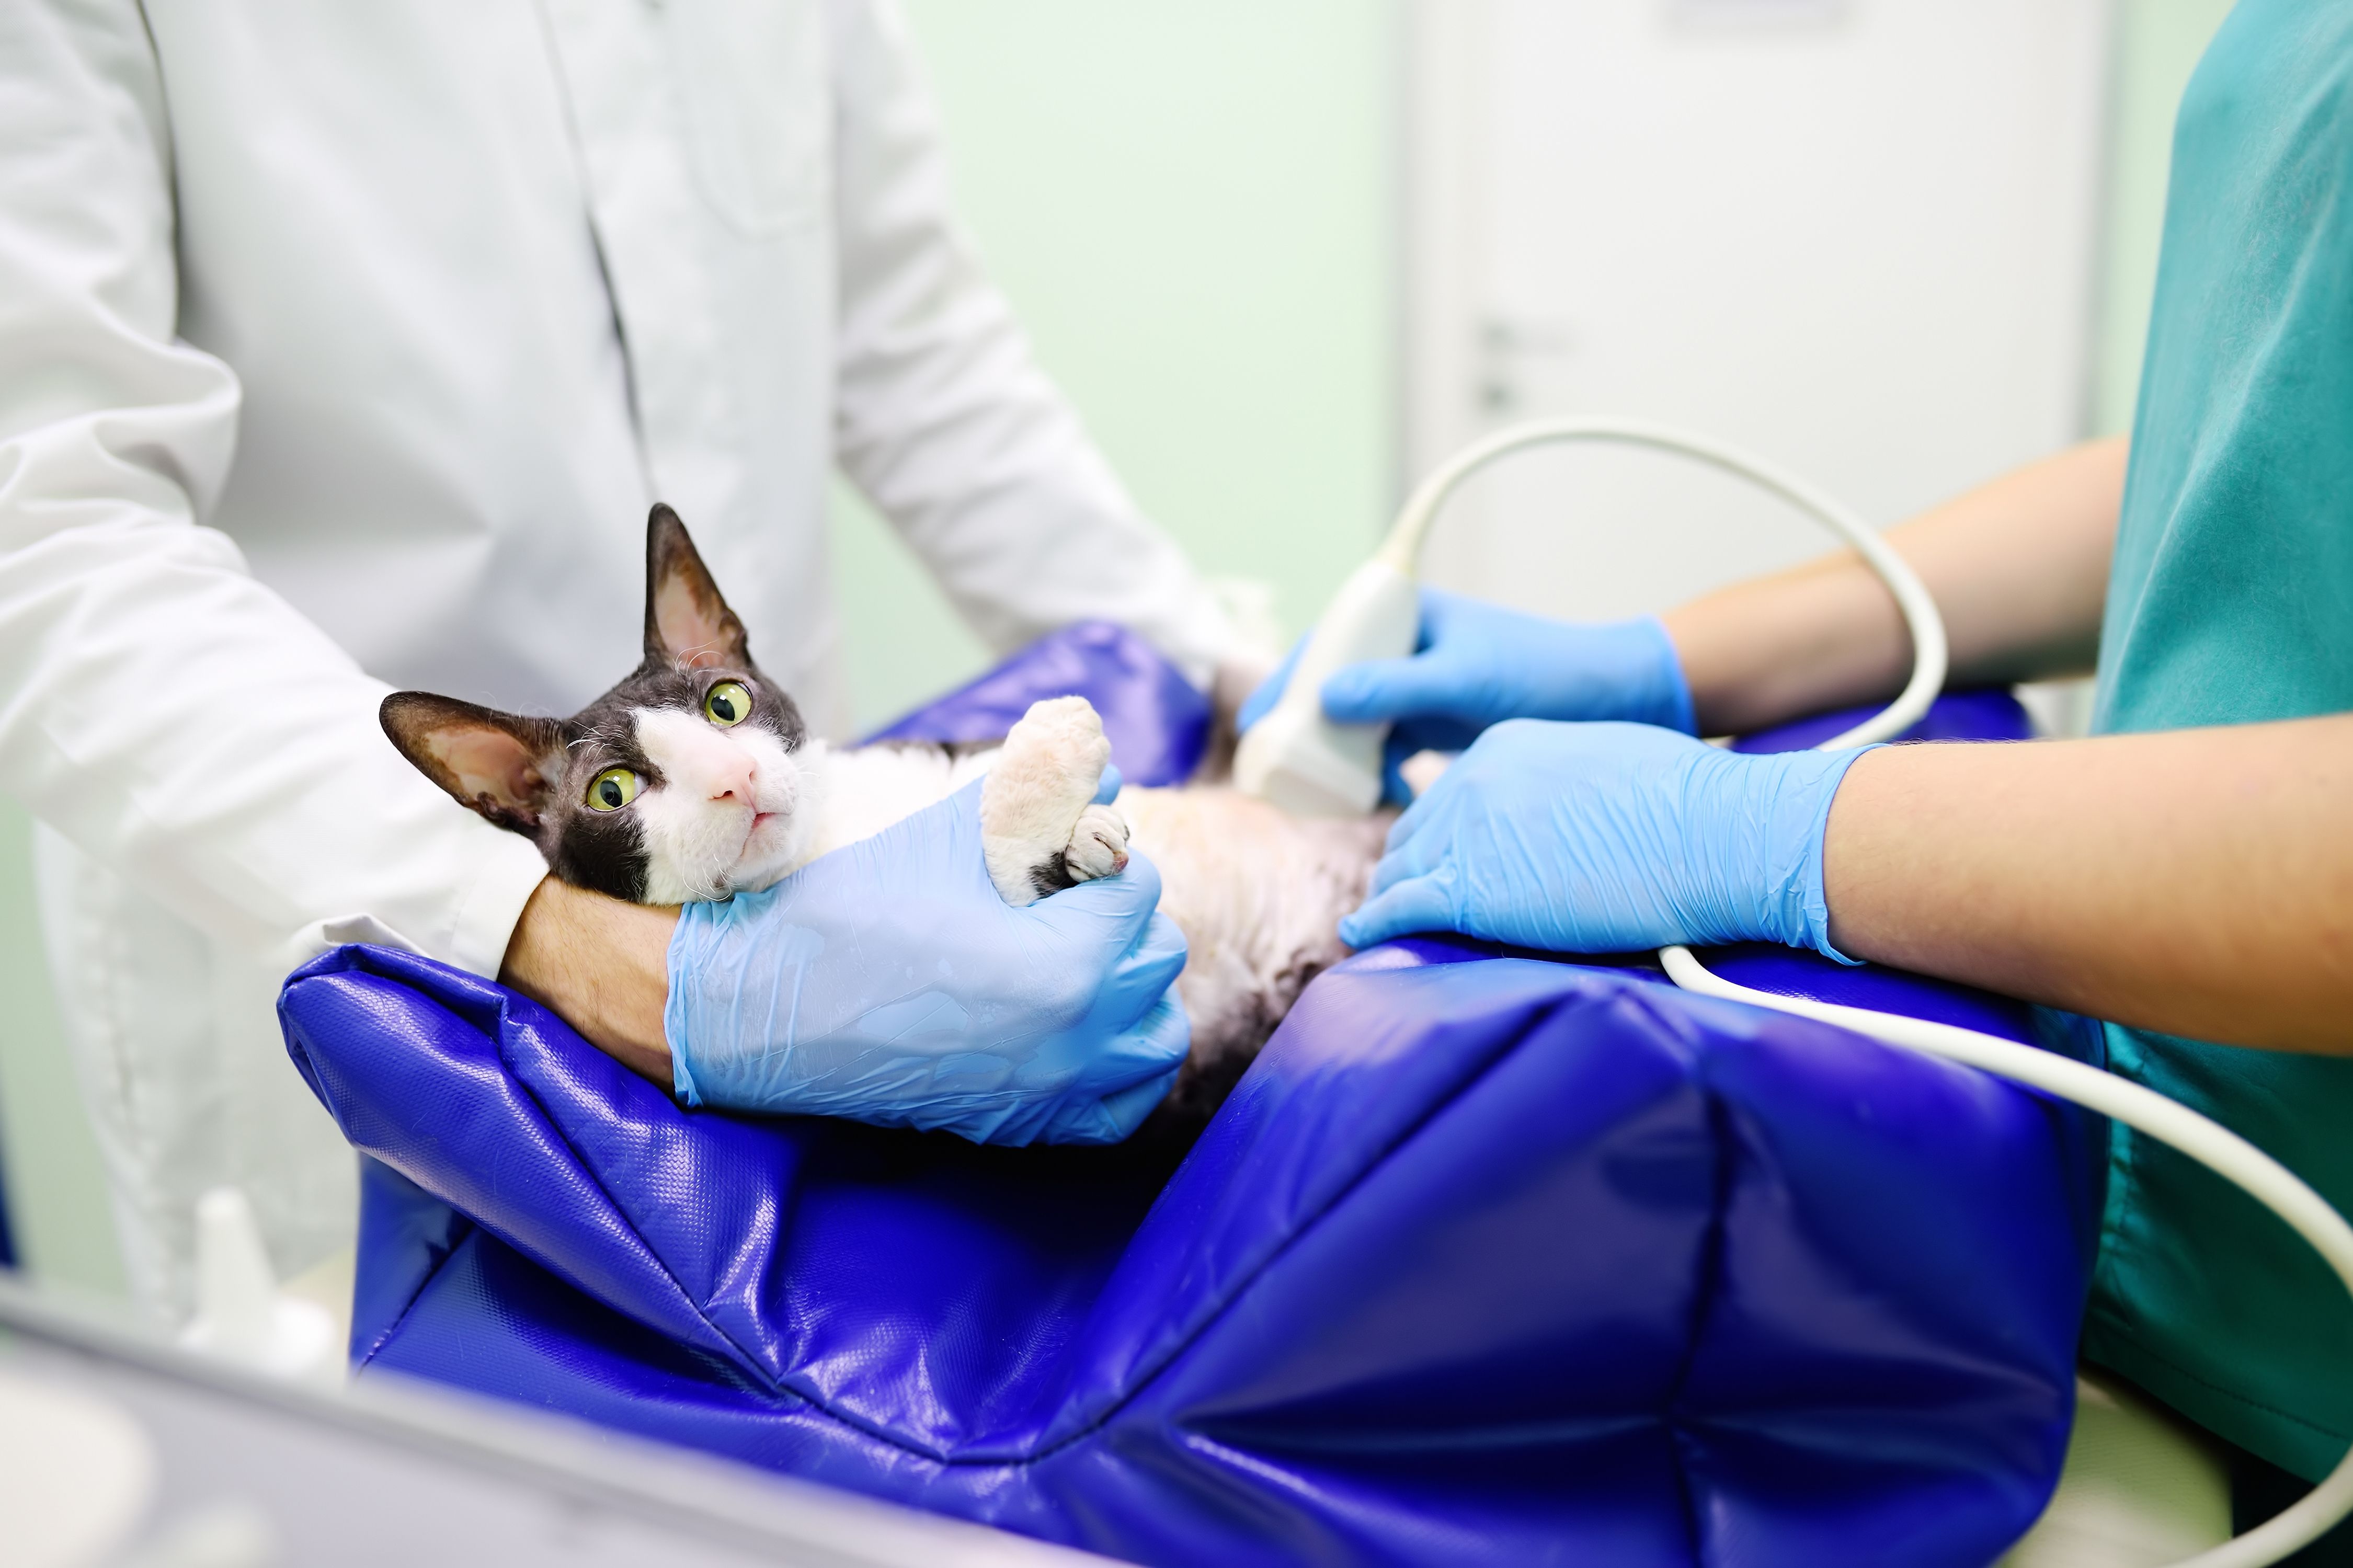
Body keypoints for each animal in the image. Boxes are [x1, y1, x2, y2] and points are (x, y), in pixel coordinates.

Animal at [376, 501, 1384, 1111]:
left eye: (726, 703)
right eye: (613, 790)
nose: (732, 777)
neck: (842, 834)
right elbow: (1011, 878)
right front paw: (1051, 777)